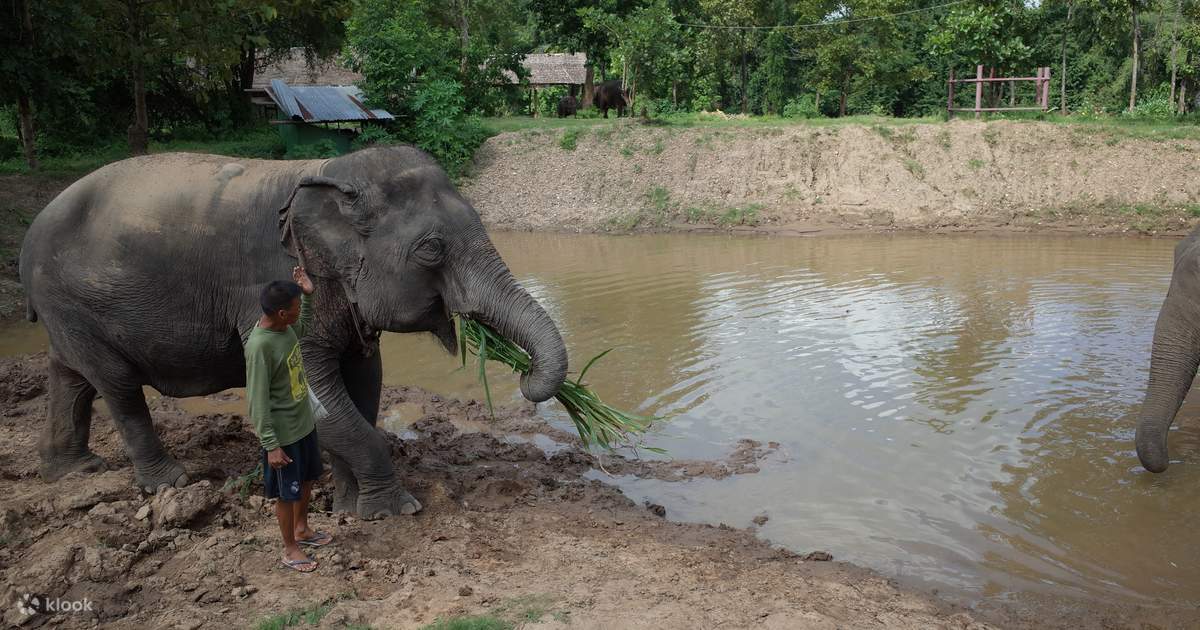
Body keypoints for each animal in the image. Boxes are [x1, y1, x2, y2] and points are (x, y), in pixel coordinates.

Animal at [19, 145, 568, 518]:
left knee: (72, 377)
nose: (523, 375)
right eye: (431, 250)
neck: (329, 174)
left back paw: (73, 470)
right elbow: (311, 388)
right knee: (118, 387)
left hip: (67, 313)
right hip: (74, 305)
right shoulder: (265, 285)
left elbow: (364, 382)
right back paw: (171, 483)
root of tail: (31, 228)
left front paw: (349, 507)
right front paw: (396, 511)